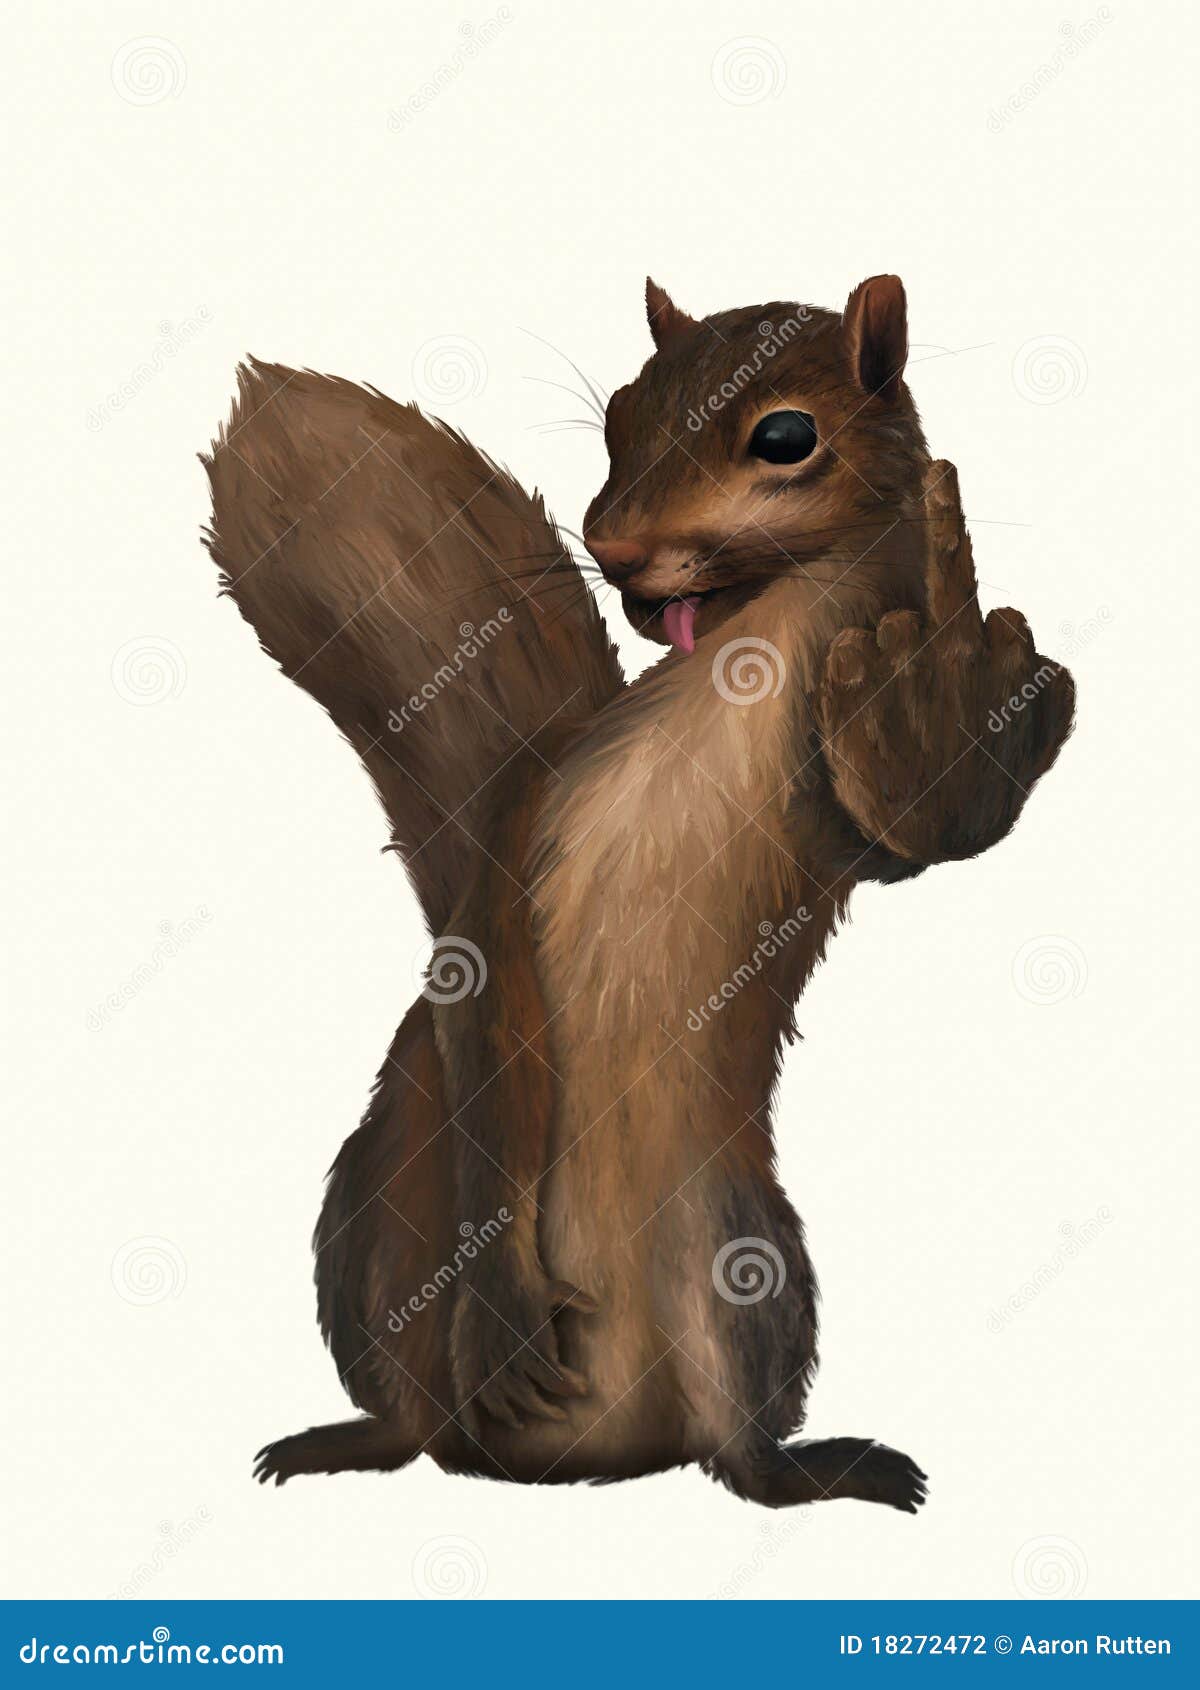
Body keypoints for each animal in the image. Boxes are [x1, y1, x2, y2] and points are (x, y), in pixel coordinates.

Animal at [201, 274, 1074, 1511]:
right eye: (619, 413)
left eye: (787, 437)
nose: (613, 549)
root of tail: (583, 1458)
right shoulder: (519, 831)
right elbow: (482, 971)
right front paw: (507, 1320)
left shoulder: (840, 814)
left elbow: (922, 830)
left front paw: (932, 690)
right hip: (378, 1234)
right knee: (412, 1403)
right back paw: (368, 1426)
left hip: (749, 1271)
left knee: (741, 1455)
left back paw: (822, 1467)